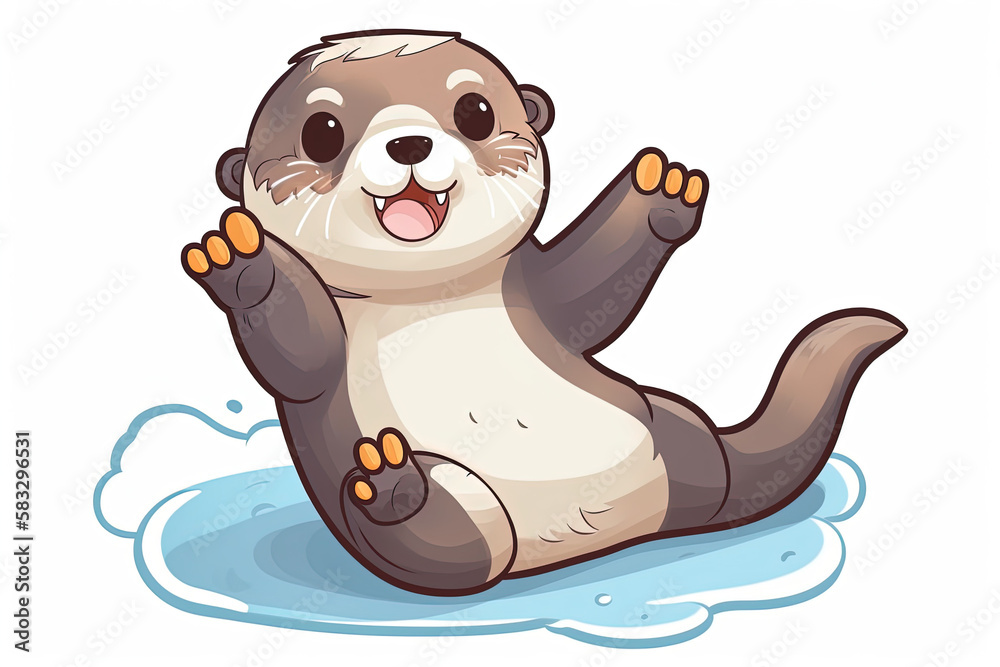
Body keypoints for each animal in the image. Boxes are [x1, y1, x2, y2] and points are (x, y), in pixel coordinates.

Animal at [181, 30, 906, 596]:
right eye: (321, 131)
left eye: (474, 110)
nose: (409, 143)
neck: (427, 296)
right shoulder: (329, 345)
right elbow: (298, 359)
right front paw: (239, 259)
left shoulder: (534, 288)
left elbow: (585, 294)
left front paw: (659, 191)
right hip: (465, 505)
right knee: (447, 543)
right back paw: (393, 487)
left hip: (660, 422)